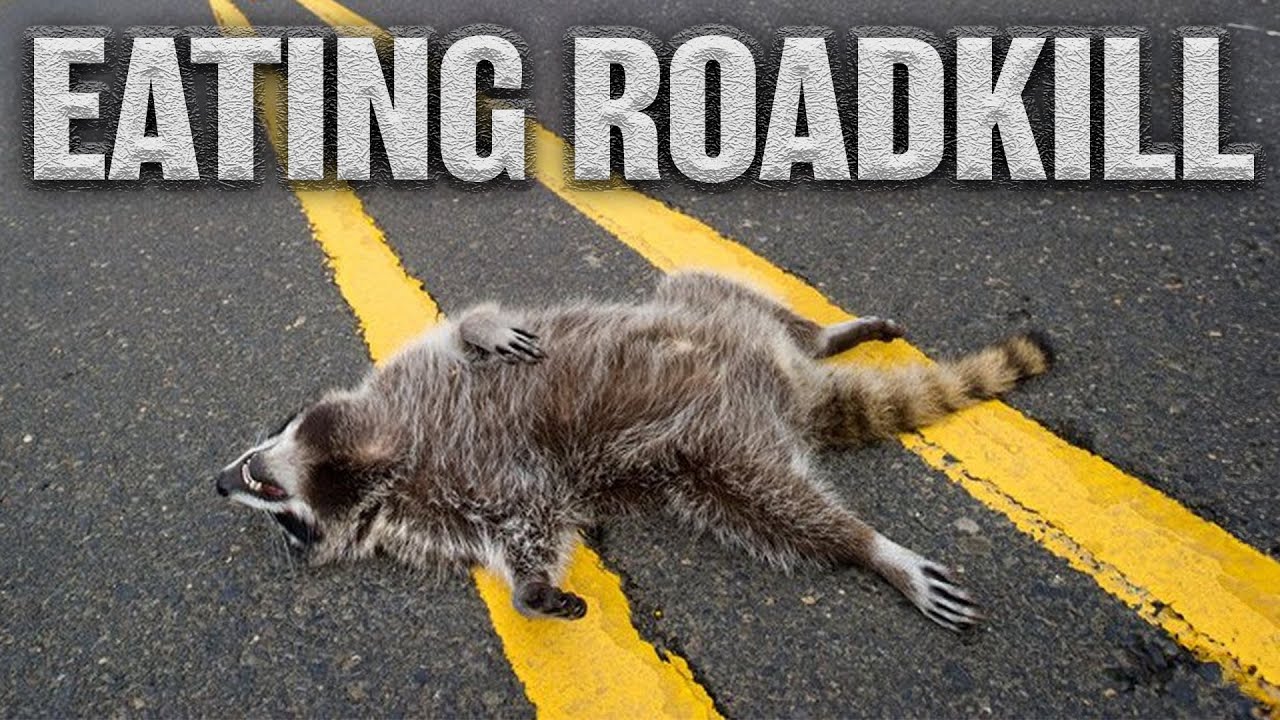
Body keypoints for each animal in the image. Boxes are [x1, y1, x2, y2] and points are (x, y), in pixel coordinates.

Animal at [215, 271, 1053, 631]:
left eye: (264, 487)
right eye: (290, 529)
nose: (219, 481)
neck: (381, 462)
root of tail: (789, 380)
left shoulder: (404, 385)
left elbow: (459, 329)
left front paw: (483, 327)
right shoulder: (460, 501)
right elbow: (530, 524)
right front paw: (530, 589)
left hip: (700, 311)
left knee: (703, 282)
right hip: (714, 452)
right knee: (769, 508)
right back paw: (855, 540)